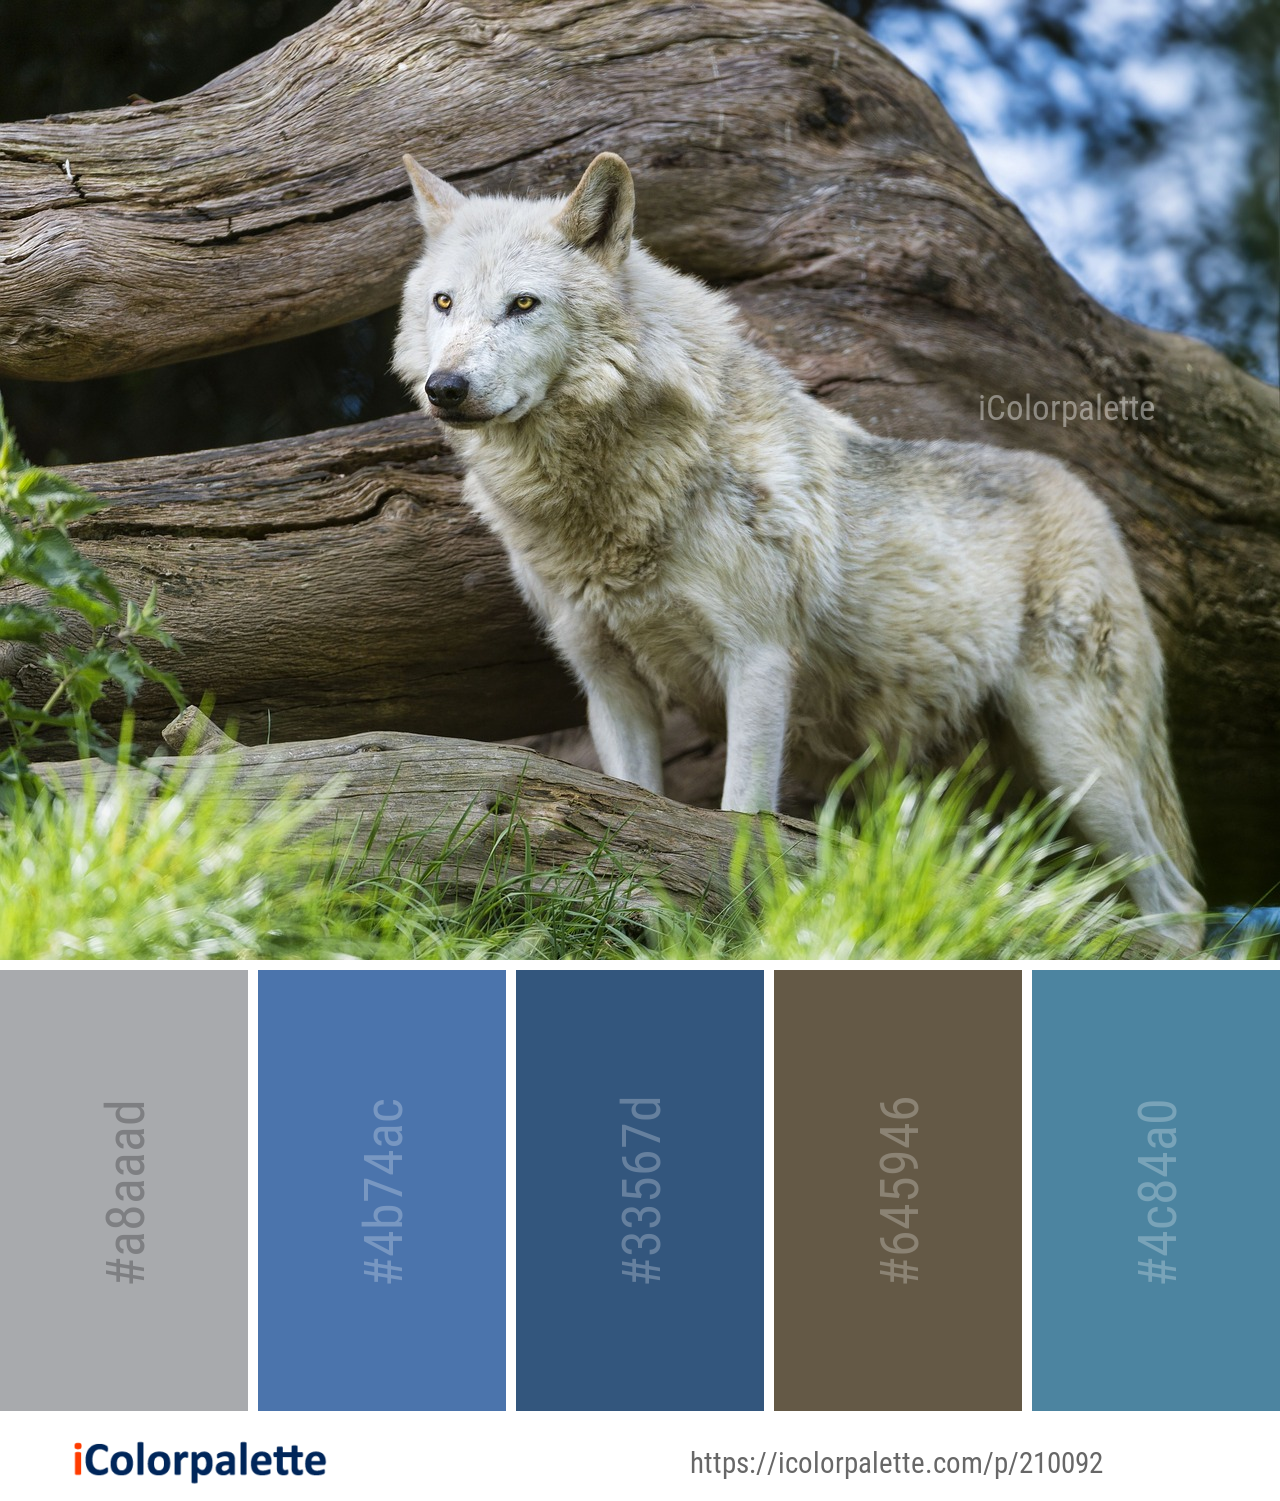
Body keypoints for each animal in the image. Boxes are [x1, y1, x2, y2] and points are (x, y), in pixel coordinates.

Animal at [393, 150, 1204, 949]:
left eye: (523, 305)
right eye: (444, 303)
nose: (446, 387)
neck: (614, 495)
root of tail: (1092, 501)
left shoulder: (757, 661)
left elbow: (737, 822)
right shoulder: (610, 683)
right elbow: (632, 811)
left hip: (1077, 765)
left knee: (1181, 907)